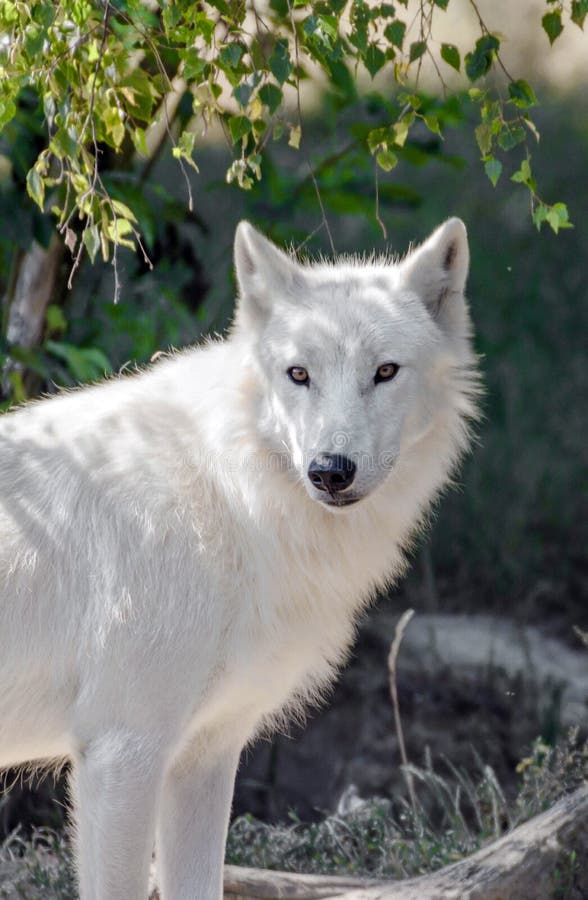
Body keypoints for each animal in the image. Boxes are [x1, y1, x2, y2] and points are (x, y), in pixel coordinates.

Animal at [0, 218, 478, 899]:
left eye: (385, 371)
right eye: (298, 374)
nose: (329, 472)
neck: (230, 496)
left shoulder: (206, 752)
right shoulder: (123, 753)